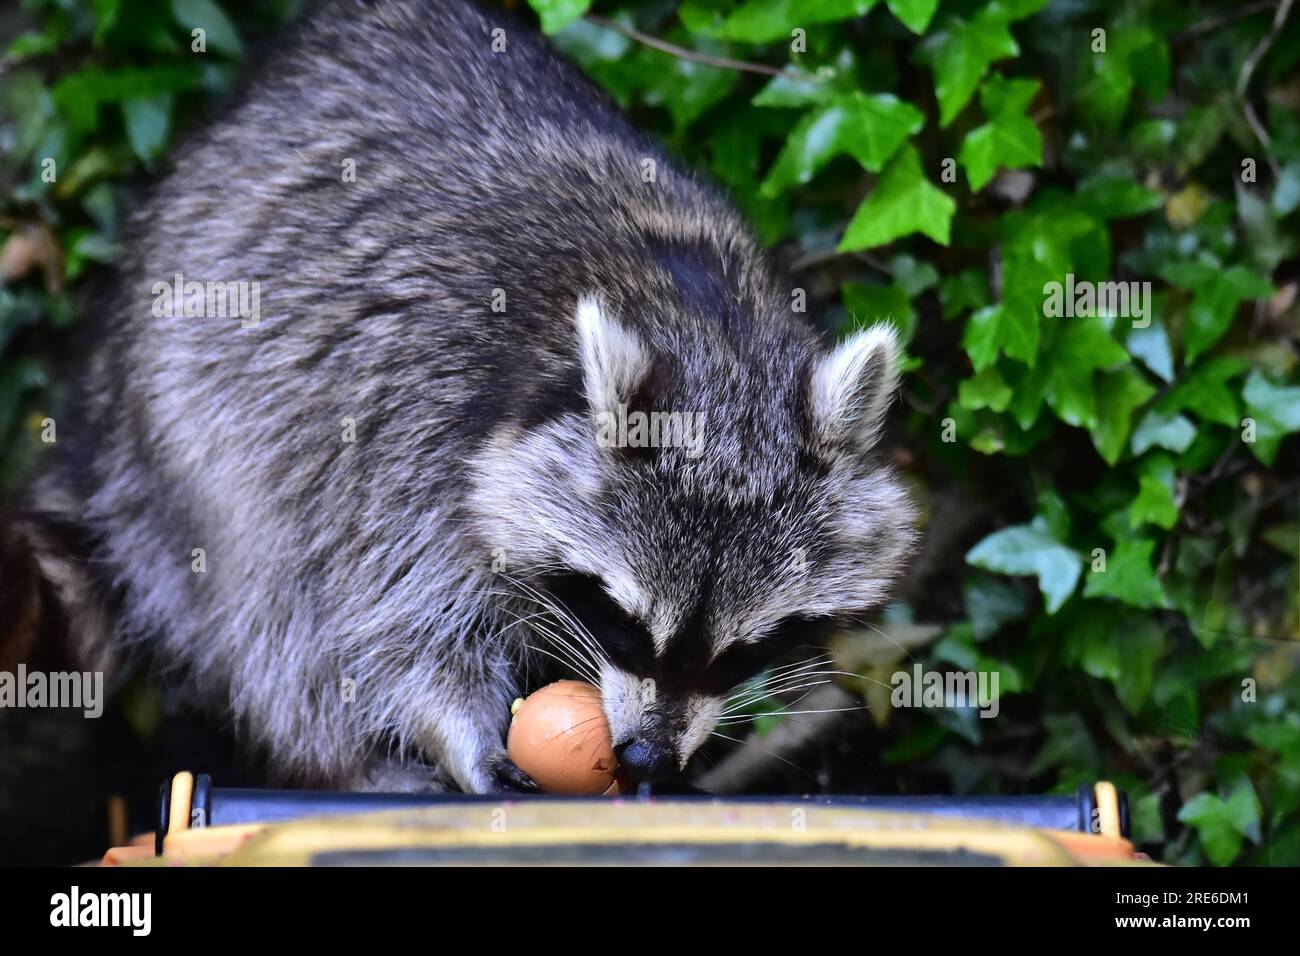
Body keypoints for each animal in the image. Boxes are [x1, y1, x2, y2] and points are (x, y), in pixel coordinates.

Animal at [17, 0, 917, 792]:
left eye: (744, 650)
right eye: (622, 622)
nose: (647, 759)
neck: (708, 326)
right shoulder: (404, 424)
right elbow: (395, 619)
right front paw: (456, 726)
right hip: (191, 401)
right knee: (268, 594)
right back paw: (337, 759)